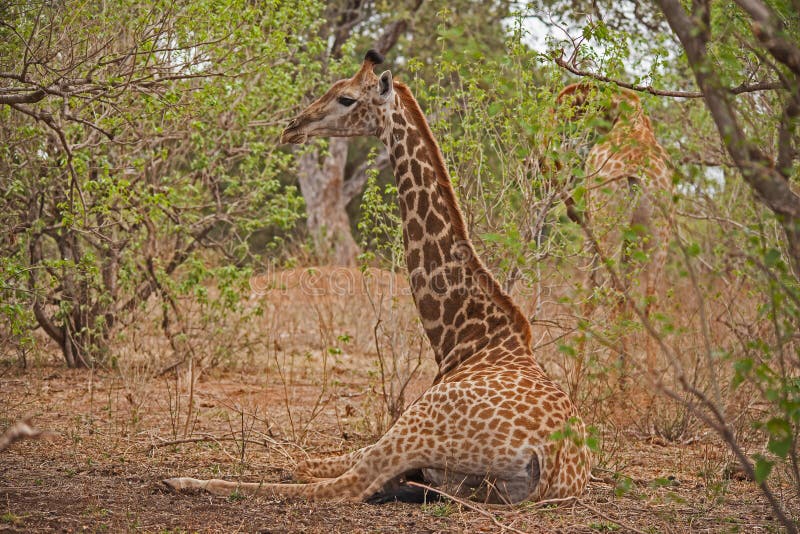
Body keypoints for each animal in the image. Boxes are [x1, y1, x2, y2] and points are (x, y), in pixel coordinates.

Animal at [164, 50, 591, 504]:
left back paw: (184, 481)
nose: (293, 126)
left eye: (347, 98)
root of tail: (545, 463)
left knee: (344, 485)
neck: (467, 339)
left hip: (418, 427)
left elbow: (305, 464)